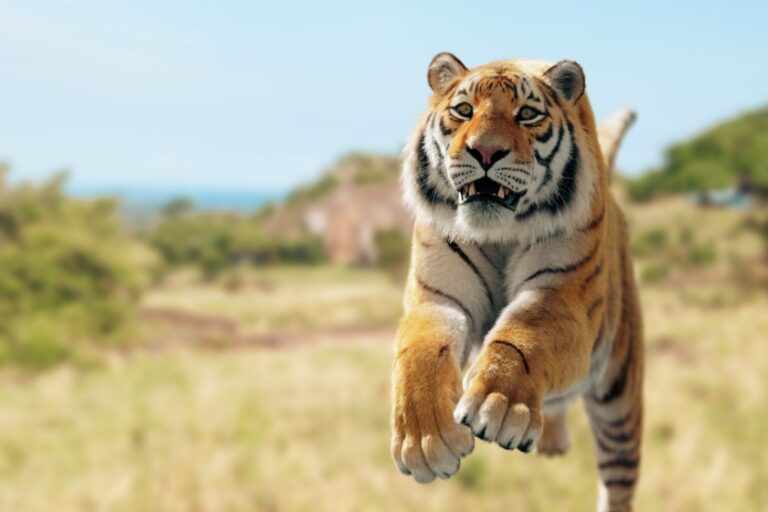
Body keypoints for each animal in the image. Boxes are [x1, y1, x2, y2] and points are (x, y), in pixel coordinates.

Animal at [390, 52, 643, 512]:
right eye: (464, 110)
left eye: (526, 115)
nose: (486, 150)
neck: (499, 233)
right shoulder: (438, 297)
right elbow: (421, 353)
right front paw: (425, 440)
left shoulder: (560, 294)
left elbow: (524, 336)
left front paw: (500, 404)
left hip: (620, 396)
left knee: (618, 479)